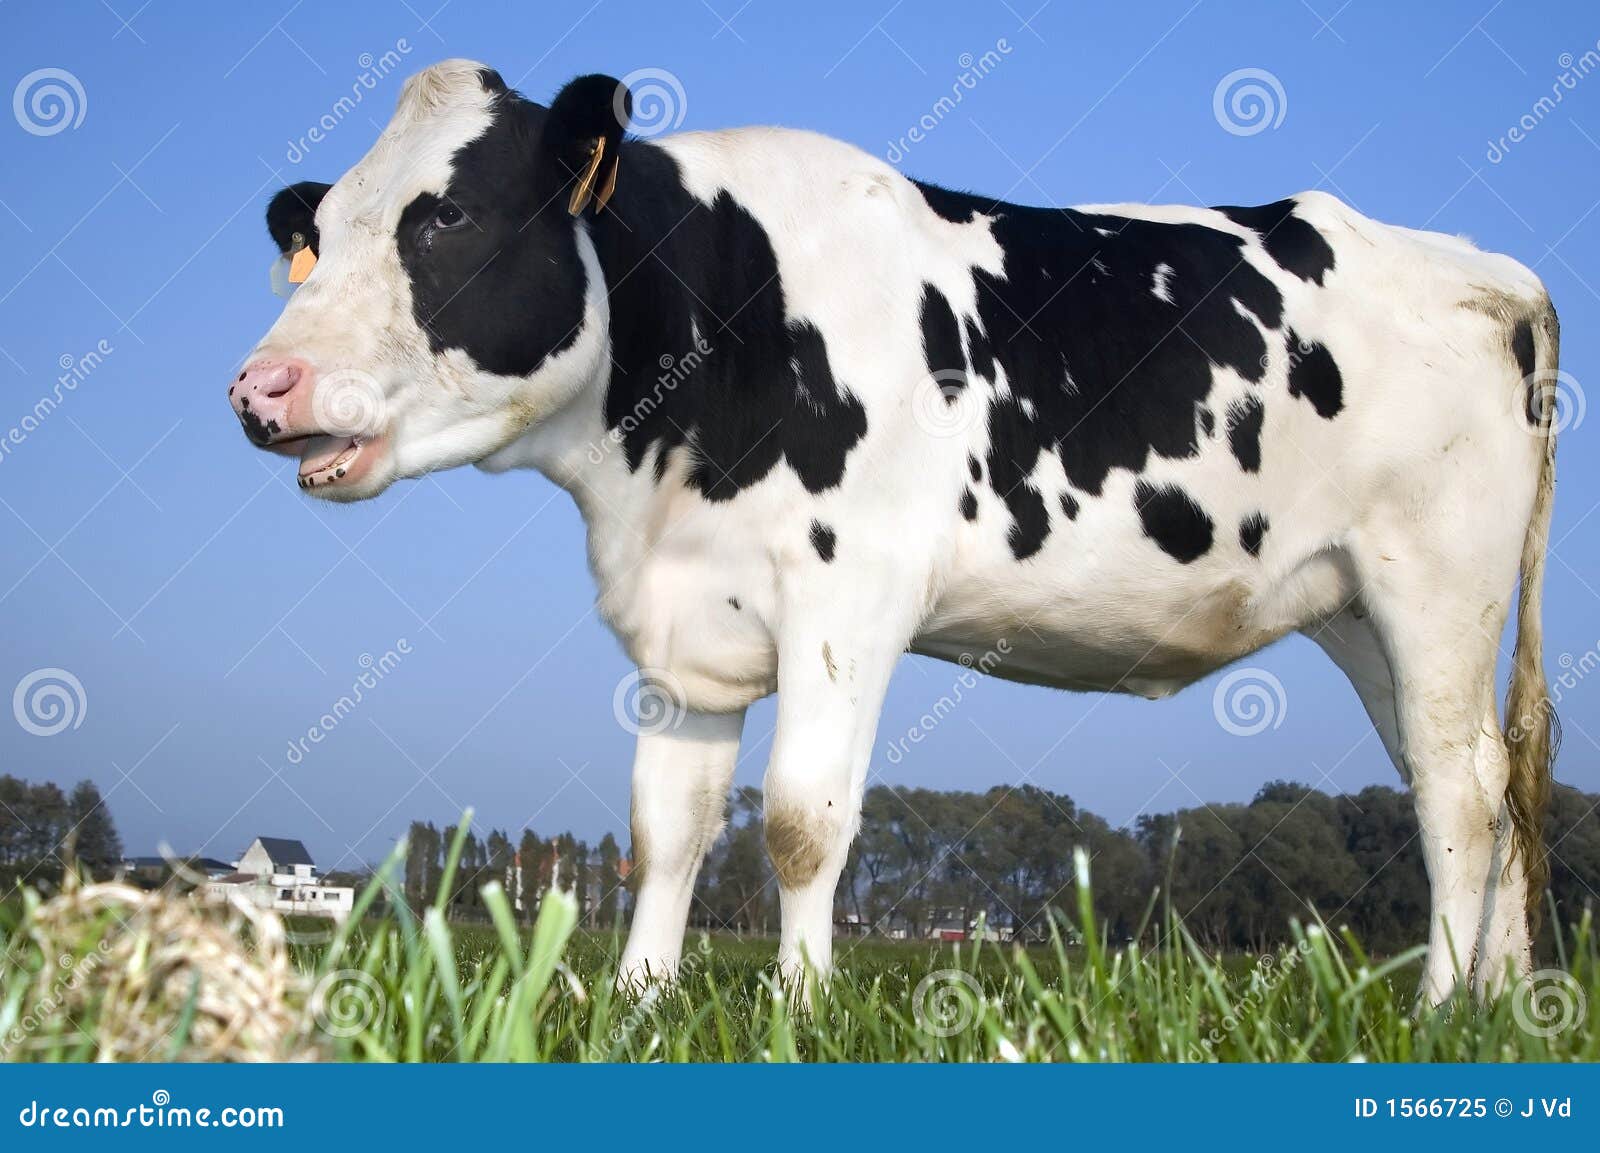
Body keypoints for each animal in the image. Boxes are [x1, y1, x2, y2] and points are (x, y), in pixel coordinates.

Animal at [231, 60, 1560, 1006]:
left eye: (448, 217)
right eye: (317, 234)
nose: (260, 385)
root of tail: (1485, 272)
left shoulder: (846, 598)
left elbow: (800, 821)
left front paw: (799, 1008)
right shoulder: (682, 626)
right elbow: (665, 830)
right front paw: (639, 1002)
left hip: (1435, 582)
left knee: (1459, 792)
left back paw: (1440, 1009)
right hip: (1360, 613)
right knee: (1478, 785)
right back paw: (1499, 1006)